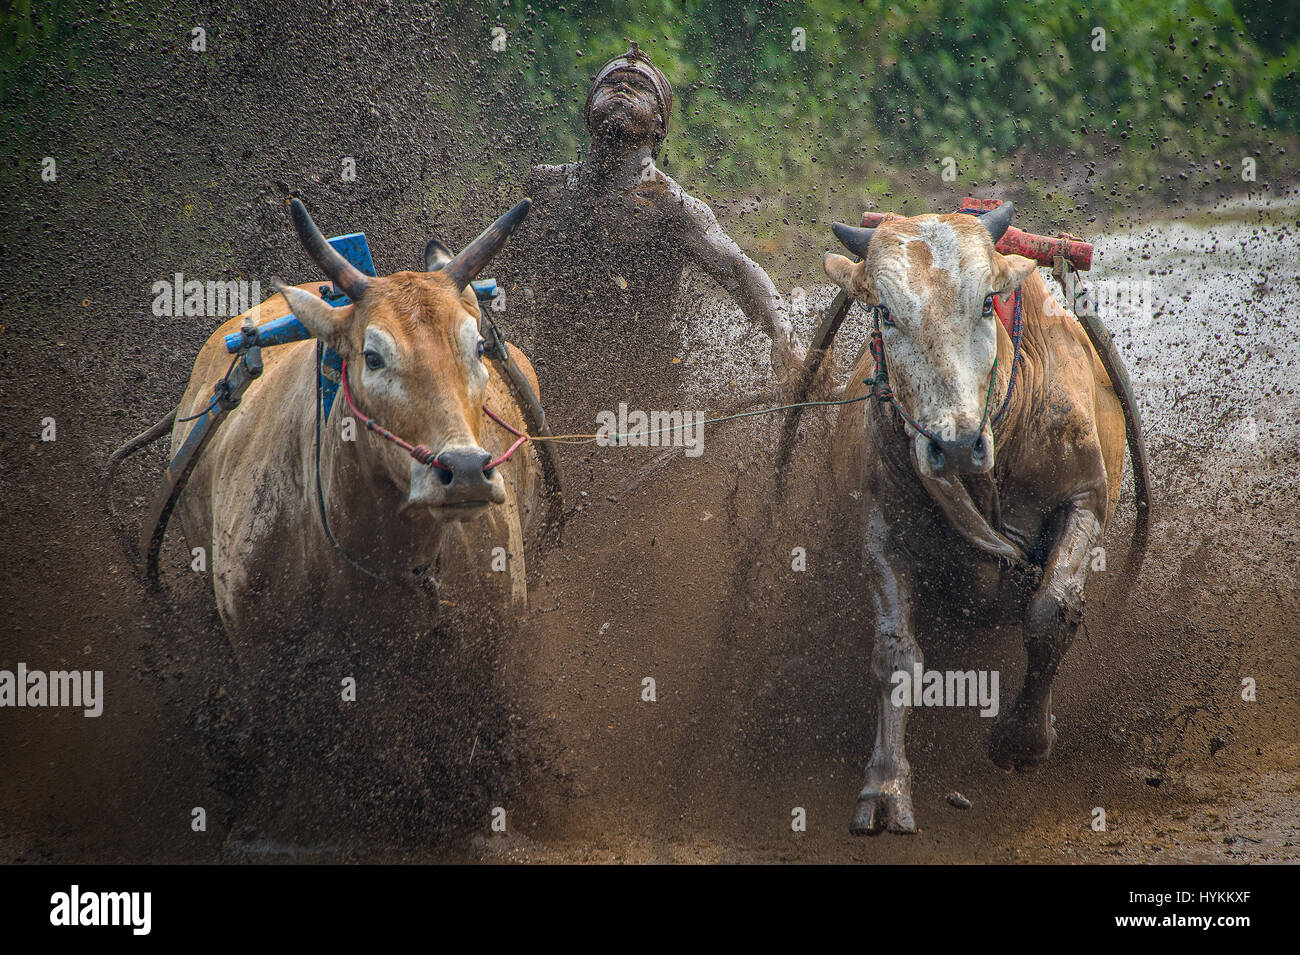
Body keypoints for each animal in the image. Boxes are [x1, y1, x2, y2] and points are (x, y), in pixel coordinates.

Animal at [821, 203, 1150, 834]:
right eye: (885, 312)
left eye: (983, 303)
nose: (954, 446)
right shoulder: (881, 533)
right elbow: (895, 653)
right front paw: (886, 785)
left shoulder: (1084, 499)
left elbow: (1052, 613)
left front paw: (1021, 741)